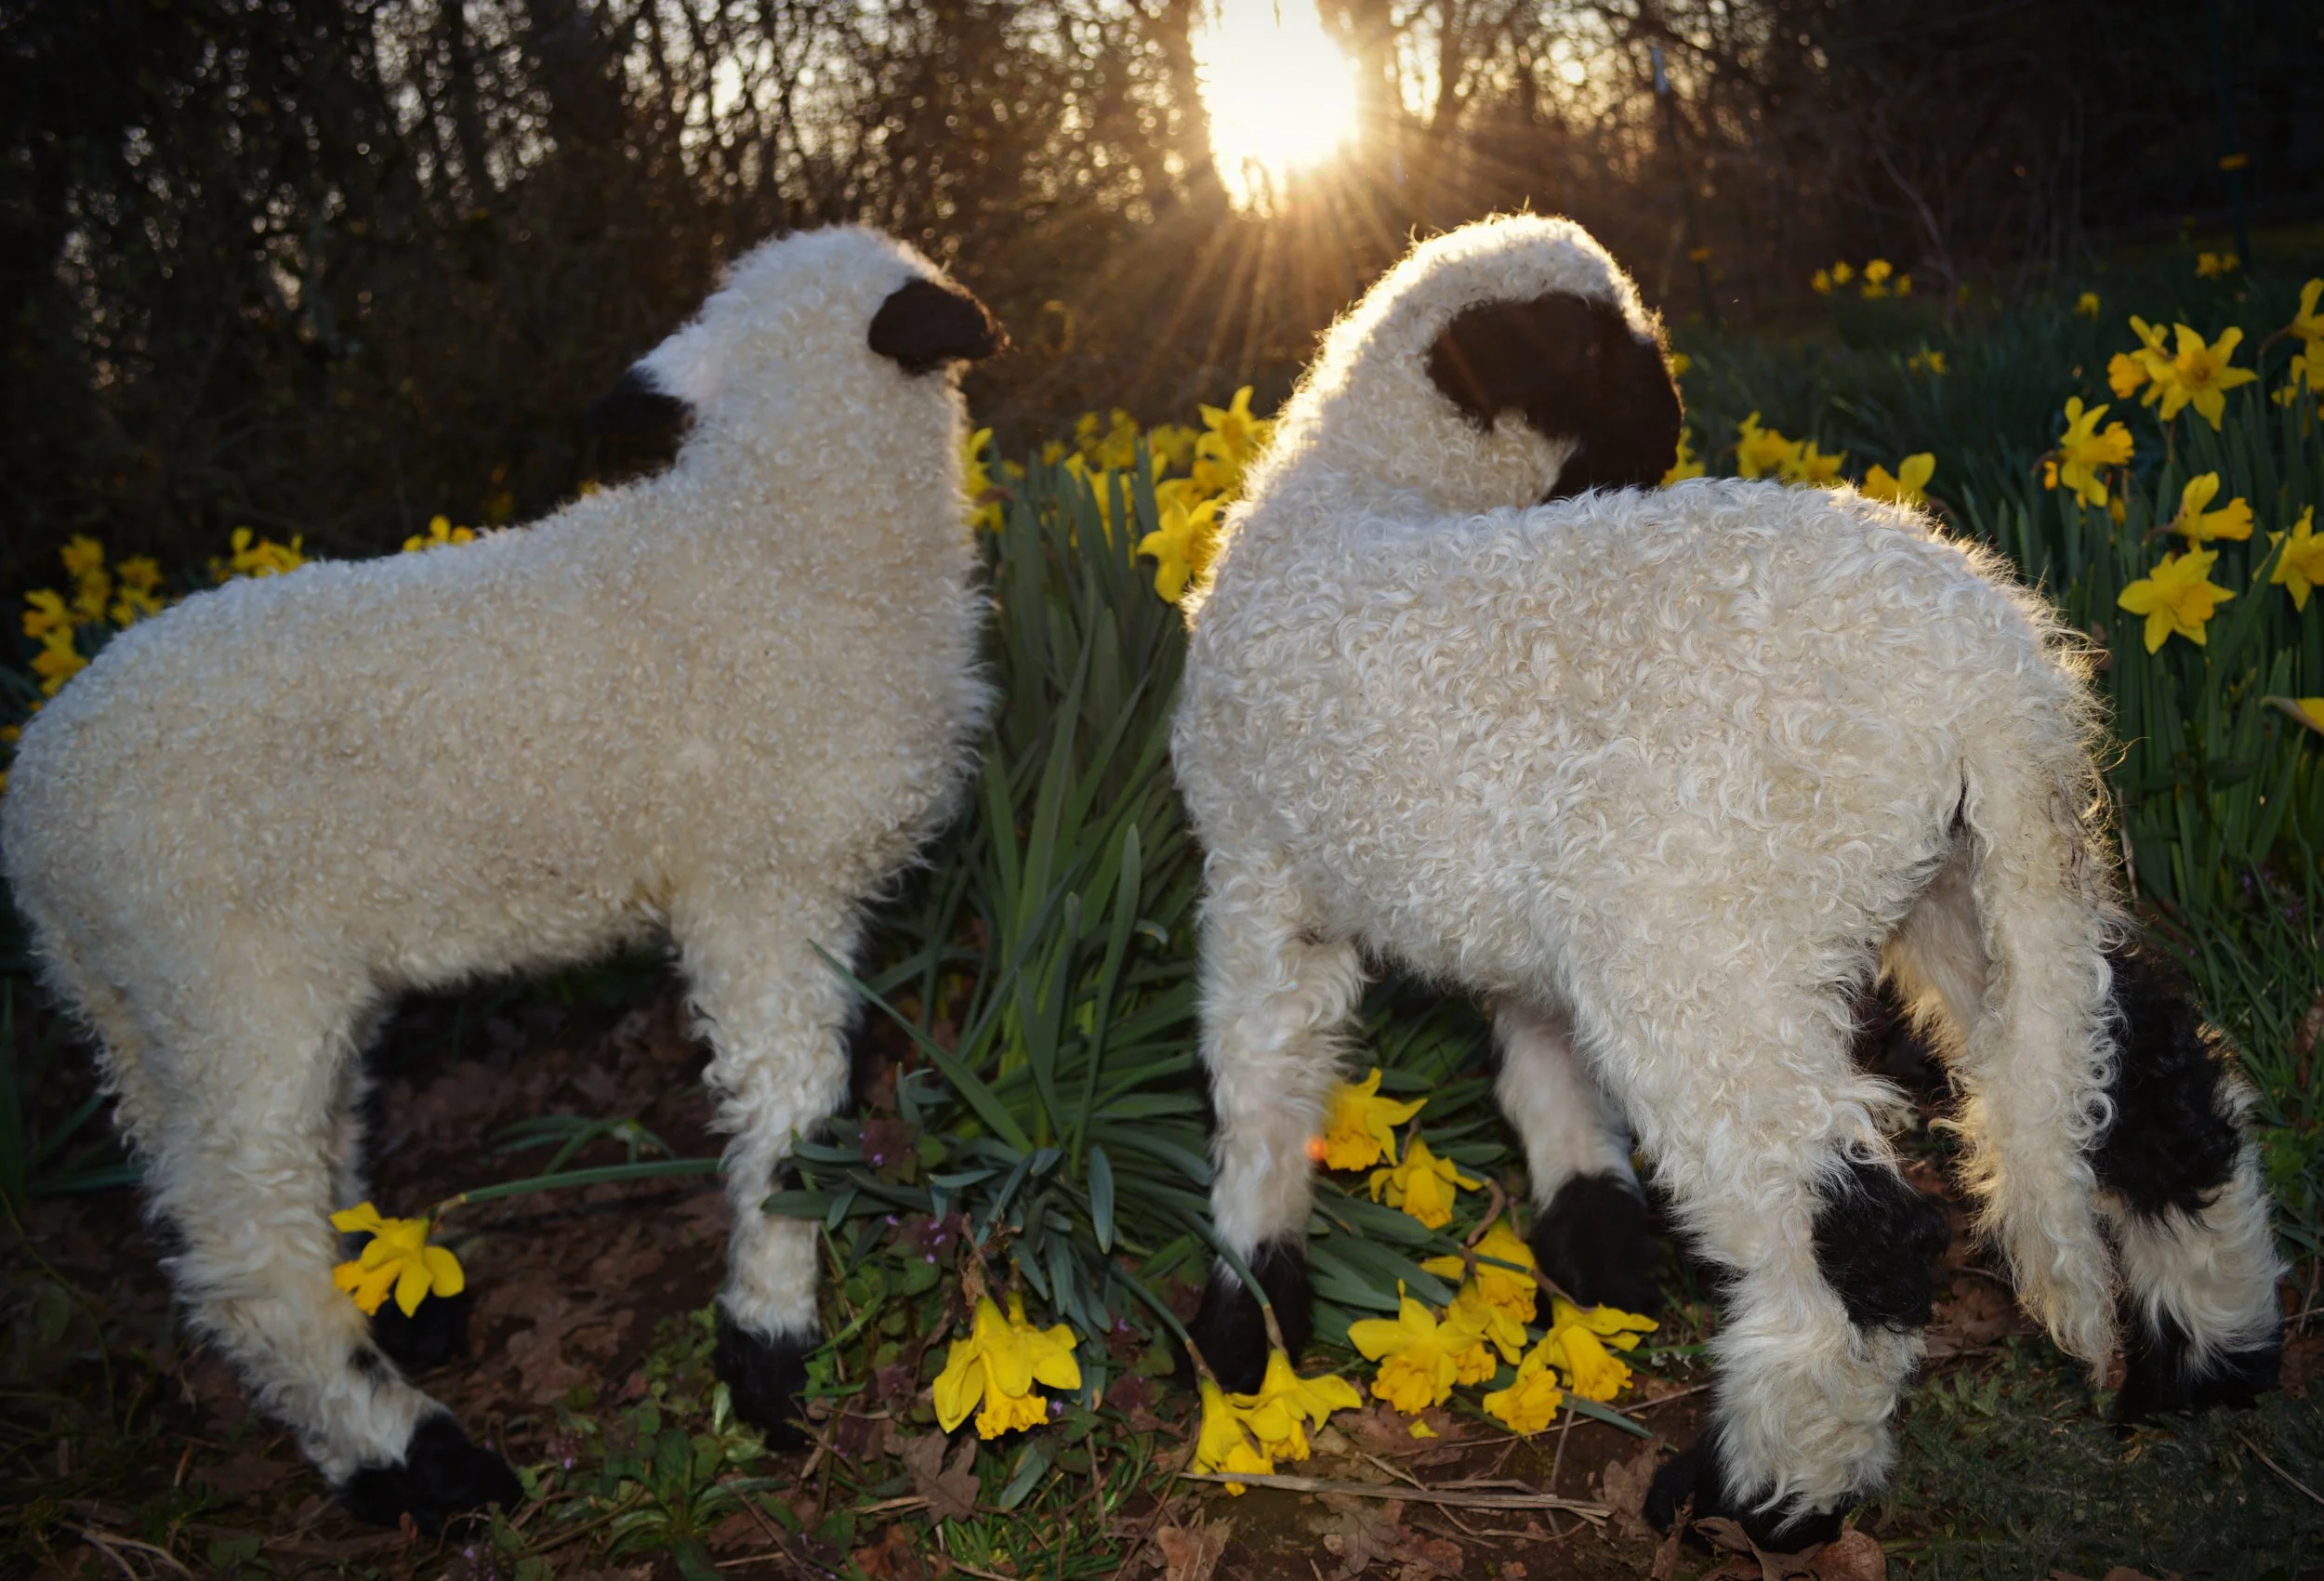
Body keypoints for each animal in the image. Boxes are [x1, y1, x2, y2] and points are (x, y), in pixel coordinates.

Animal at [0, 224, 1005, 1531]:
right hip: (225, 976)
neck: (778, 540)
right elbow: (791, 1112)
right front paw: (769, 1351)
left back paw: (392, 1321)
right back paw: (415, 1460)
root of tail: (37, 813)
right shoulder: (759, 883)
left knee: (282, 1165)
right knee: (245, 1249)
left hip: (158, 1007)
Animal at [1171, 214, 2282, 1550]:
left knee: (1853, 1234)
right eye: (1609, 366)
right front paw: (1596, 1244)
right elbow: (1540, 1060)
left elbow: (1261, 1095)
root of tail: (1994, 680)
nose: (1665, 442)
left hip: (1699, 943)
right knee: (2152, 1092)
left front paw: (1243, 1328)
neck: (1366, 488)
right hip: (1975, 885)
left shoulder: (1259, 876)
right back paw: (2215, 1357)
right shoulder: (1516, 887)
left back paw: (1760, 1496)